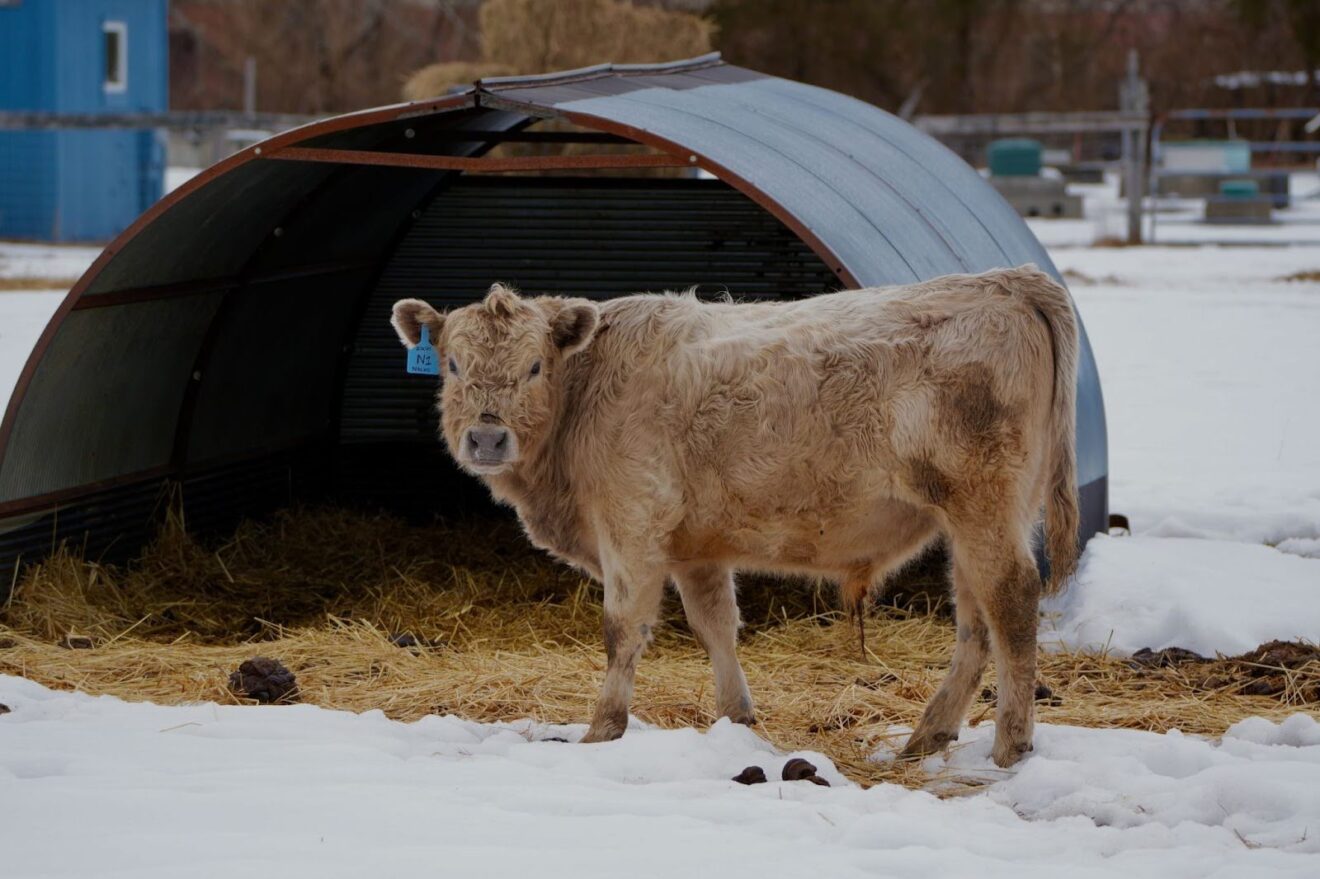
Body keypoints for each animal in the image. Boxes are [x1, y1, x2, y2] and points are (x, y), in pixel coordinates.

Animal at [391, 265, 1080, 767]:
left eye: (534, 367)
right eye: (453, 364)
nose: (486, 438)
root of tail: (1005, 280)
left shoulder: (631, 526)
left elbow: (622, 629)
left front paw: (602, 730)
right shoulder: (696, 548)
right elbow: (716, 625)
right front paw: (736, 719)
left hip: (983, 507)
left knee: (1011, 602)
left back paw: (1010, 743)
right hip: (978, 520)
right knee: (976, 622)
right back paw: (928, 736)